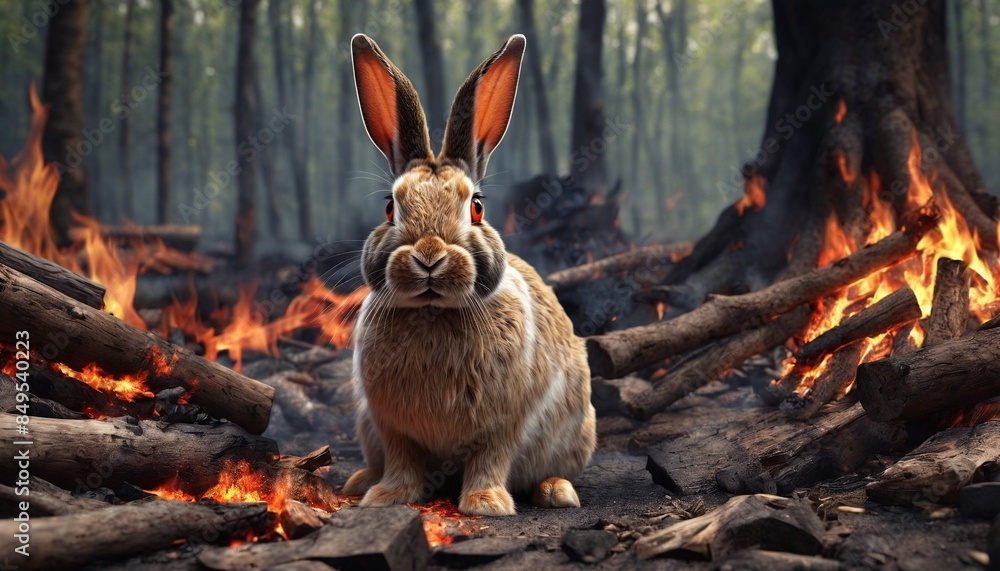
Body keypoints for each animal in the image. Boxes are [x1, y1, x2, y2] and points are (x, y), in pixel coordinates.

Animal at [342, 33, 596, 517]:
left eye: (476, 207)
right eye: (390, 207)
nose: (429, 255)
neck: (434, 313)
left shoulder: (503, 424)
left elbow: (490, 458)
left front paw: (485, 503)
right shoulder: (390, 426)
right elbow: (403, 460)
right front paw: (386, 497)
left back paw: (557, 492)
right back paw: (360, 480)